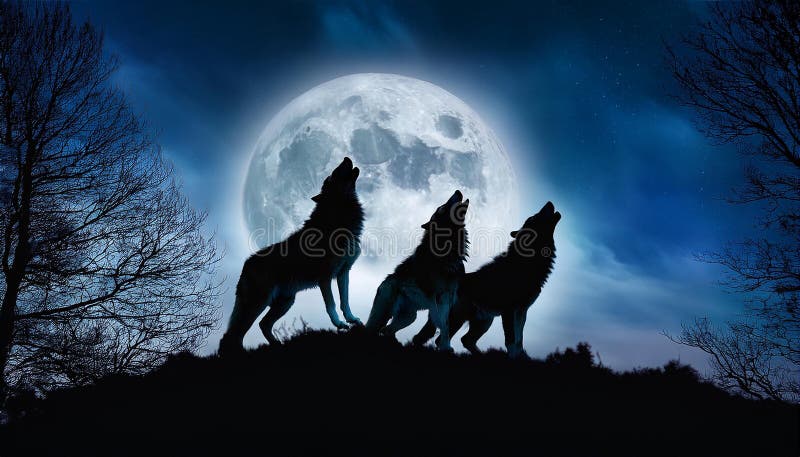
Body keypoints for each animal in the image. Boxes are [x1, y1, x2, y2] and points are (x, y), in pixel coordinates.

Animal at [219, 157, 364, 355]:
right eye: (334, 173)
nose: (346, 158)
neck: (338, 219)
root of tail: (246, 264)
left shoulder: (343, 273)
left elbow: (345, 301)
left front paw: (351, 319)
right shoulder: (325, 277)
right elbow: (331, 304)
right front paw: (339, 324)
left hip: (285, 302)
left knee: (262, 325)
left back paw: (277, 345)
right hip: (258, 304)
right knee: (233, 335)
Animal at [365, 190, 469, 351]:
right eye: (442, 207)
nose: (458, 191)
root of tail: (382, 282)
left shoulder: (448, 297)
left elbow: (445, 325)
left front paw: (446, 347)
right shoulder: (436, 298)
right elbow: (442, 324)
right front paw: (445, 347)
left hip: (409, 317)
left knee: (387, 330)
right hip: (383, 315)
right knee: (372, 329)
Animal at [412, 201, 561, 358]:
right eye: (533, 218)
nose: (549, 202)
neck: (526, 263)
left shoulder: (522, 311)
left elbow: (519, 341)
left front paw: (521, 357)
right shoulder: (509, 311)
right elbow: (511, 340)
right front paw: (513, 357)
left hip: (484, 322)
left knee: (464, 340)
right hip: (458, 319)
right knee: (436, 339)